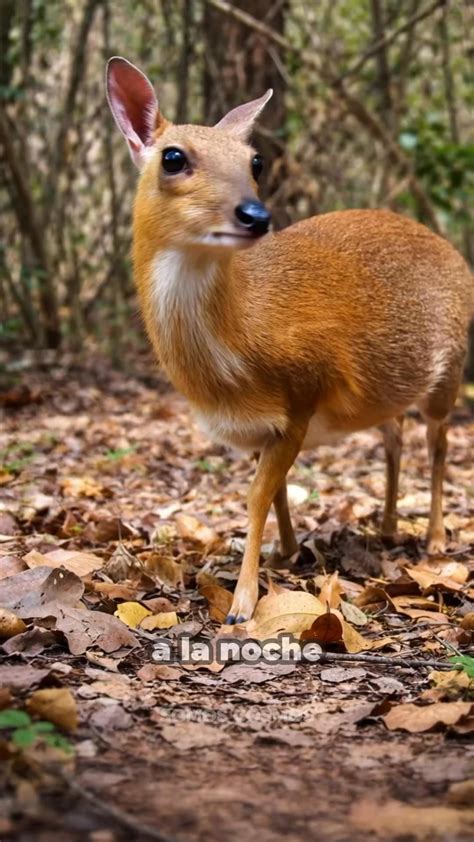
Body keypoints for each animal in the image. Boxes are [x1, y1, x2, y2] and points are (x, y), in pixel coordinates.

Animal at [106, 57, 473, 624]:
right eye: (172, 157)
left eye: (255, 161)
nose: (255, 215)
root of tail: (455, 254)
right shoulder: (262, 428)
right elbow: (274, 492)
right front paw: (288, 551)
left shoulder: (301, 395)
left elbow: (258, 495)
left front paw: (242, 603)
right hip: (390, 387)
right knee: (394, 437)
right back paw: (389, 527)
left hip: (450, 369)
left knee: (438, 443)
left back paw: (432, 538)